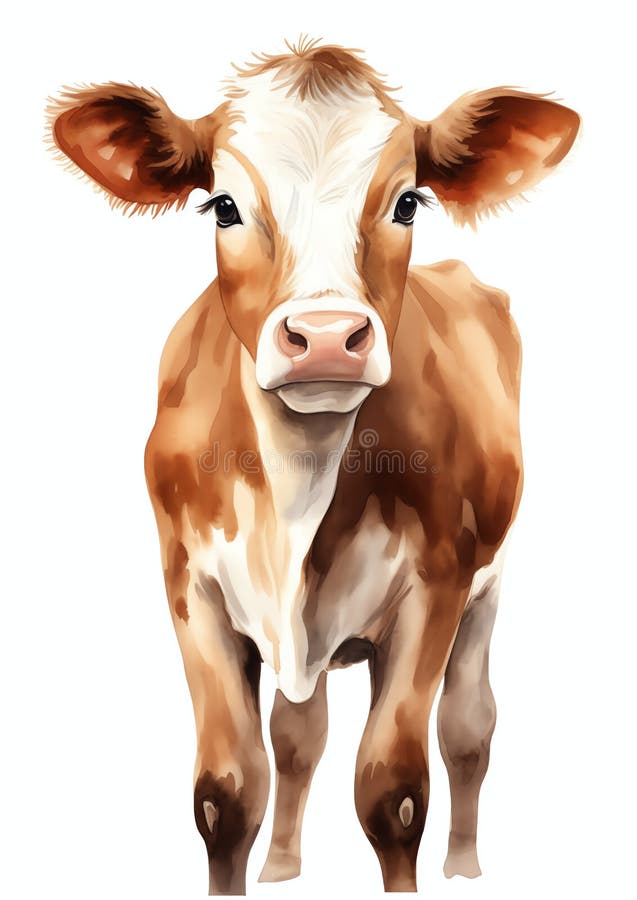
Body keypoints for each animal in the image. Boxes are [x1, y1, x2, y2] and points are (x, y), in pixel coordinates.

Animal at [48, 38, 579, 895]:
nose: (326, 336)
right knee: (299, 735)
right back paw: (284, 867)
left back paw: (465, 867)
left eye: (407, 203)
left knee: (468, 728)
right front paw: (256, 861)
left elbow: (393, 792)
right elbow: (228, 792)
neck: (296, 496)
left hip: (487, 592)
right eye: (222, 206)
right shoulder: (189, 587)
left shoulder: (436, 587)